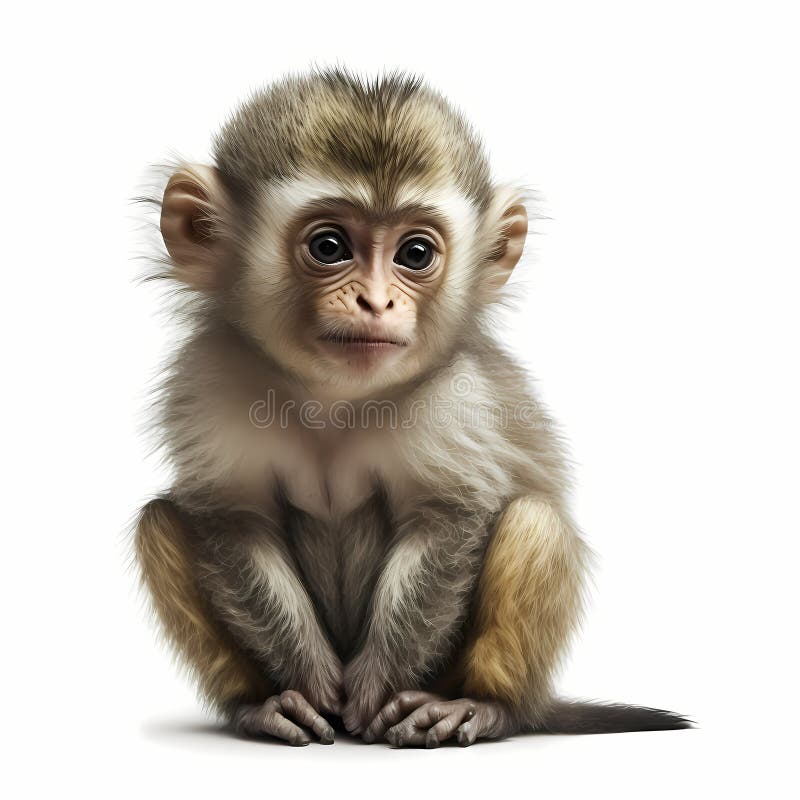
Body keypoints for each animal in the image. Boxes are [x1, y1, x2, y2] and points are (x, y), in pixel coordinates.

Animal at [134, 68, 690, 747]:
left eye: (415, 254)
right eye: (329, 245)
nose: (376, 303)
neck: (332, 399)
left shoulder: (454, 399)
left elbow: (447, 520)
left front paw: (375, 687)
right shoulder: (210, 378)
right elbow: (234, 520)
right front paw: (308, 681)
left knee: (534, 521)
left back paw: (484, 707)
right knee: (158, 522)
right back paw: (256, 707)